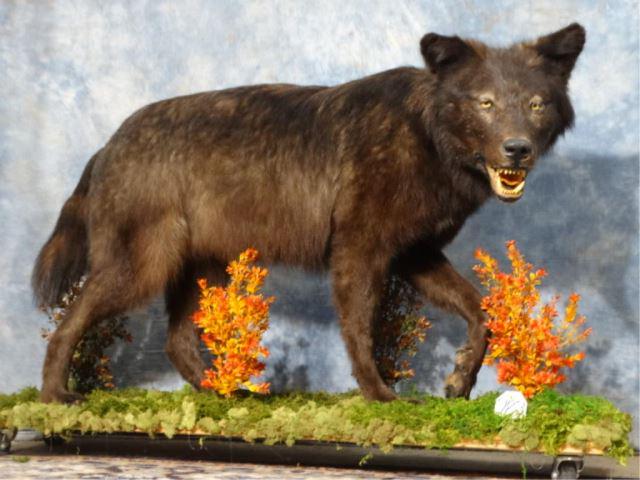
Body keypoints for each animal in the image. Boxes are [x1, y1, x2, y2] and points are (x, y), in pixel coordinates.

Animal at [33, 24, 585, 403]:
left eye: (536, 104)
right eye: (486, 103)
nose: (518, 150)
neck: (426, 135)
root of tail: (107, 145)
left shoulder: (415, 256)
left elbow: (482, 313)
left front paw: (461, 378)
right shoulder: (359, 253)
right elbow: (360, 332)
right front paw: (381, 399)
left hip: (200, 273)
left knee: (176, 343)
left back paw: (225, 396)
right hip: (142, 270)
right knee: (69, 323)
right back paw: (57, 398)